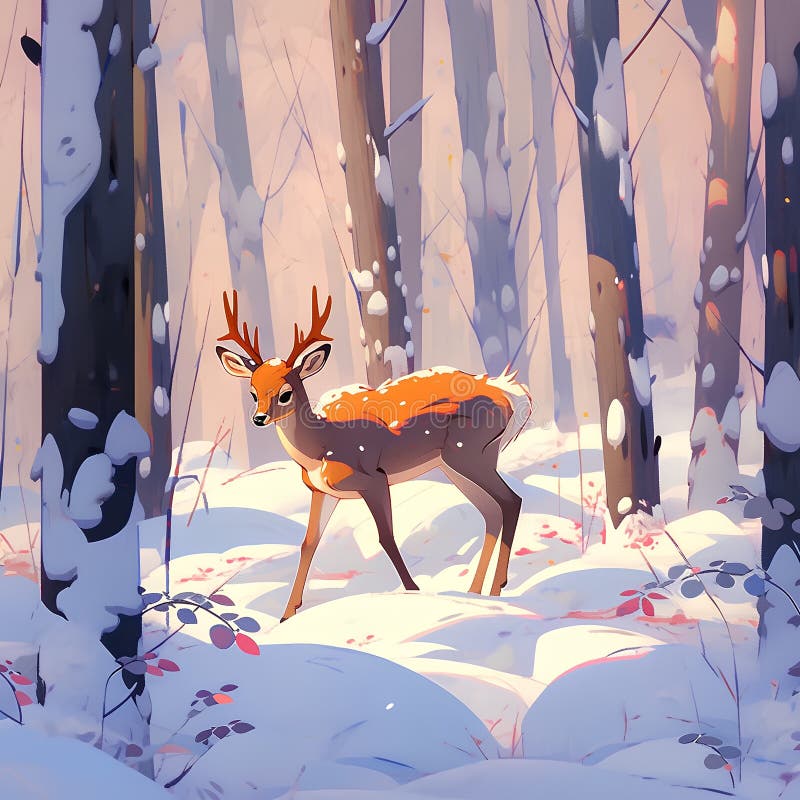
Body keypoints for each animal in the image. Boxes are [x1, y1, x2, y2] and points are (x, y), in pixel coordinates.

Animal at [216, 287, 531, 621]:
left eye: (285, 393)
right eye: (253, 392)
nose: (259, 418)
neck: (321, 443)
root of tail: (511, 394)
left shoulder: (374, 479)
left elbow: (386, 537)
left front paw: (414, 591)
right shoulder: (321, 491)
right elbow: (308, 543)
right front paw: (287, 614)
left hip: (470, 452)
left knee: (510, 501)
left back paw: (497, 588)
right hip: (454, 463)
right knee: (490, 511)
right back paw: (474, 592)